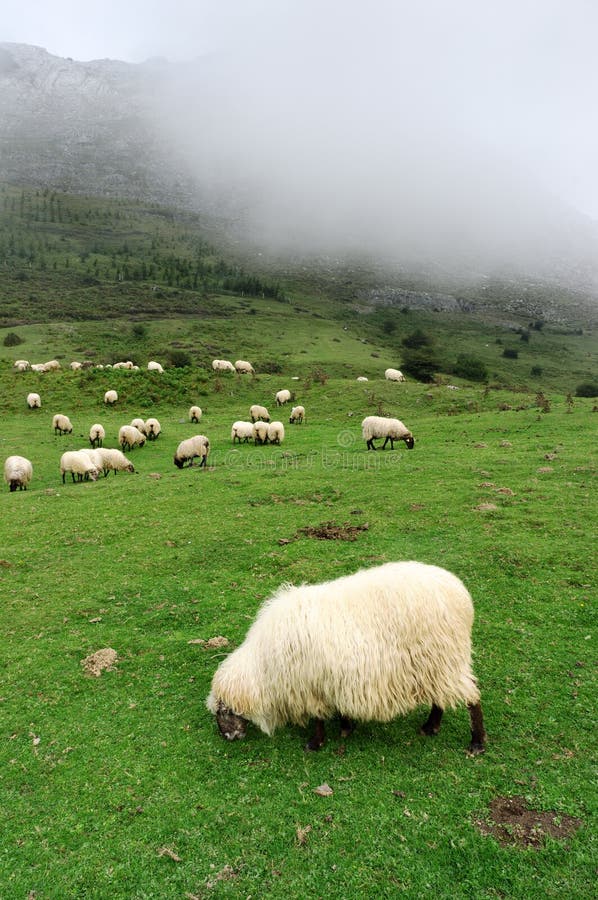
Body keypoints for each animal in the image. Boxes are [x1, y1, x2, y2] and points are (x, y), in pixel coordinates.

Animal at [207, 560, 486, 754]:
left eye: (224, 710)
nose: (227, 737)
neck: (264, 666)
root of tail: (460, 592)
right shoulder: (333, 676)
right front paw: (346, 726)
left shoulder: (310, 683)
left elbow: (318, 718)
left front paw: (315, 743)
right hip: (436, 664)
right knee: (441, 697)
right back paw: (431, 727)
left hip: (445, 657)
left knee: (472, 699)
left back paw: (477, 743)